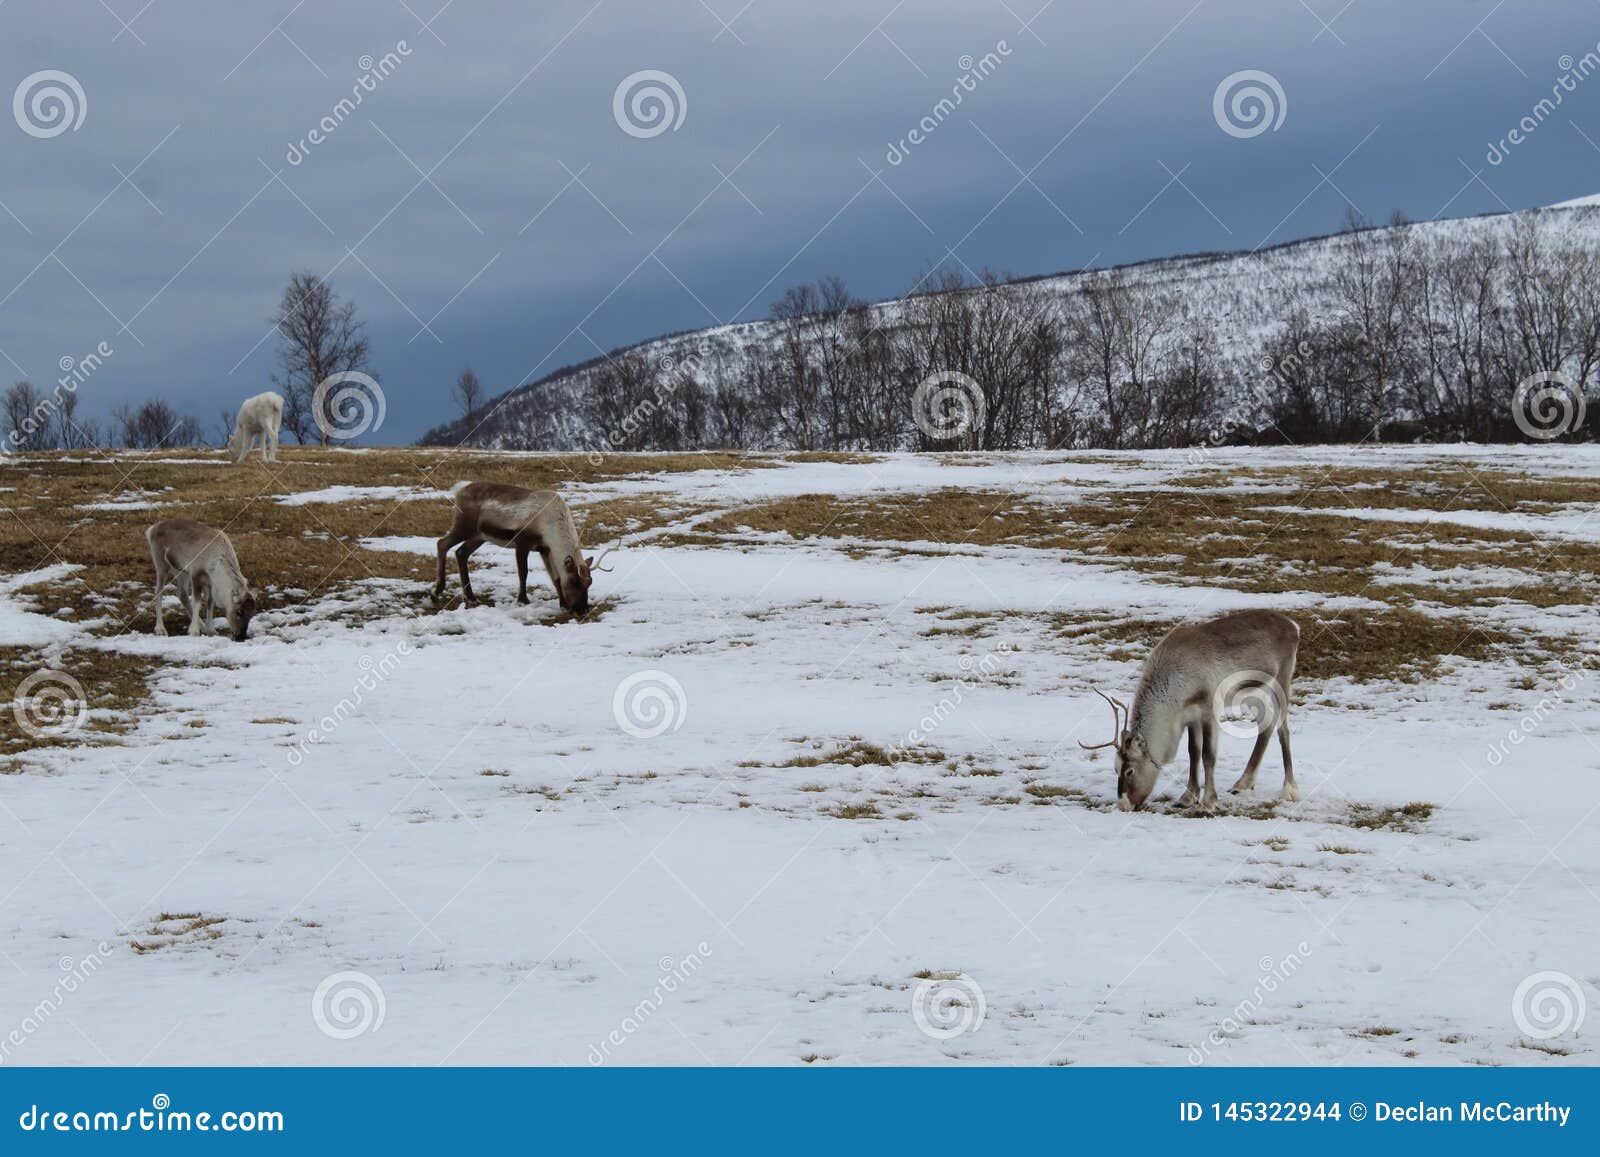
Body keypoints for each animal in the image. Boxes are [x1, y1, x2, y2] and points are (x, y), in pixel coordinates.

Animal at [432, 481, 614, 615]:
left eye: (589, 582)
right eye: (574, 581)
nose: (582, 610)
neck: (550, 523)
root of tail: (459, 491)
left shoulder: (545, 550)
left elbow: (555, 578)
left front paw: (563, 604)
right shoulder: (522, 543)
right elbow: (523, 573)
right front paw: (523, 600)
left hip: (480, 536)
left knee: (461, 552)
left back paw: (470, 597)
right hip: (464, 526)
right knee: (442, 543)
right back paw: (436, 592)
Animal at [1080, 609, 1300, 813]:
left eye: (1130, 771)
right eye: (1115, 768)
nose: (1123, 805)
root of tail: (1293, 626)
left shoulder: (1208, 710)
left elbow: (1208, 755)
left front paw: (1208, 802)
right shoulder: (1190, 716)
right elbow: (1193, 752)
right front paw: (1187, 797)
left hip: (1281, 682)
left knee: (1283, 730)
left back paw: (1289, 789)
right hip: (1253, 692)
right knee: (1267, 723)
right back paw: (1243, 783)